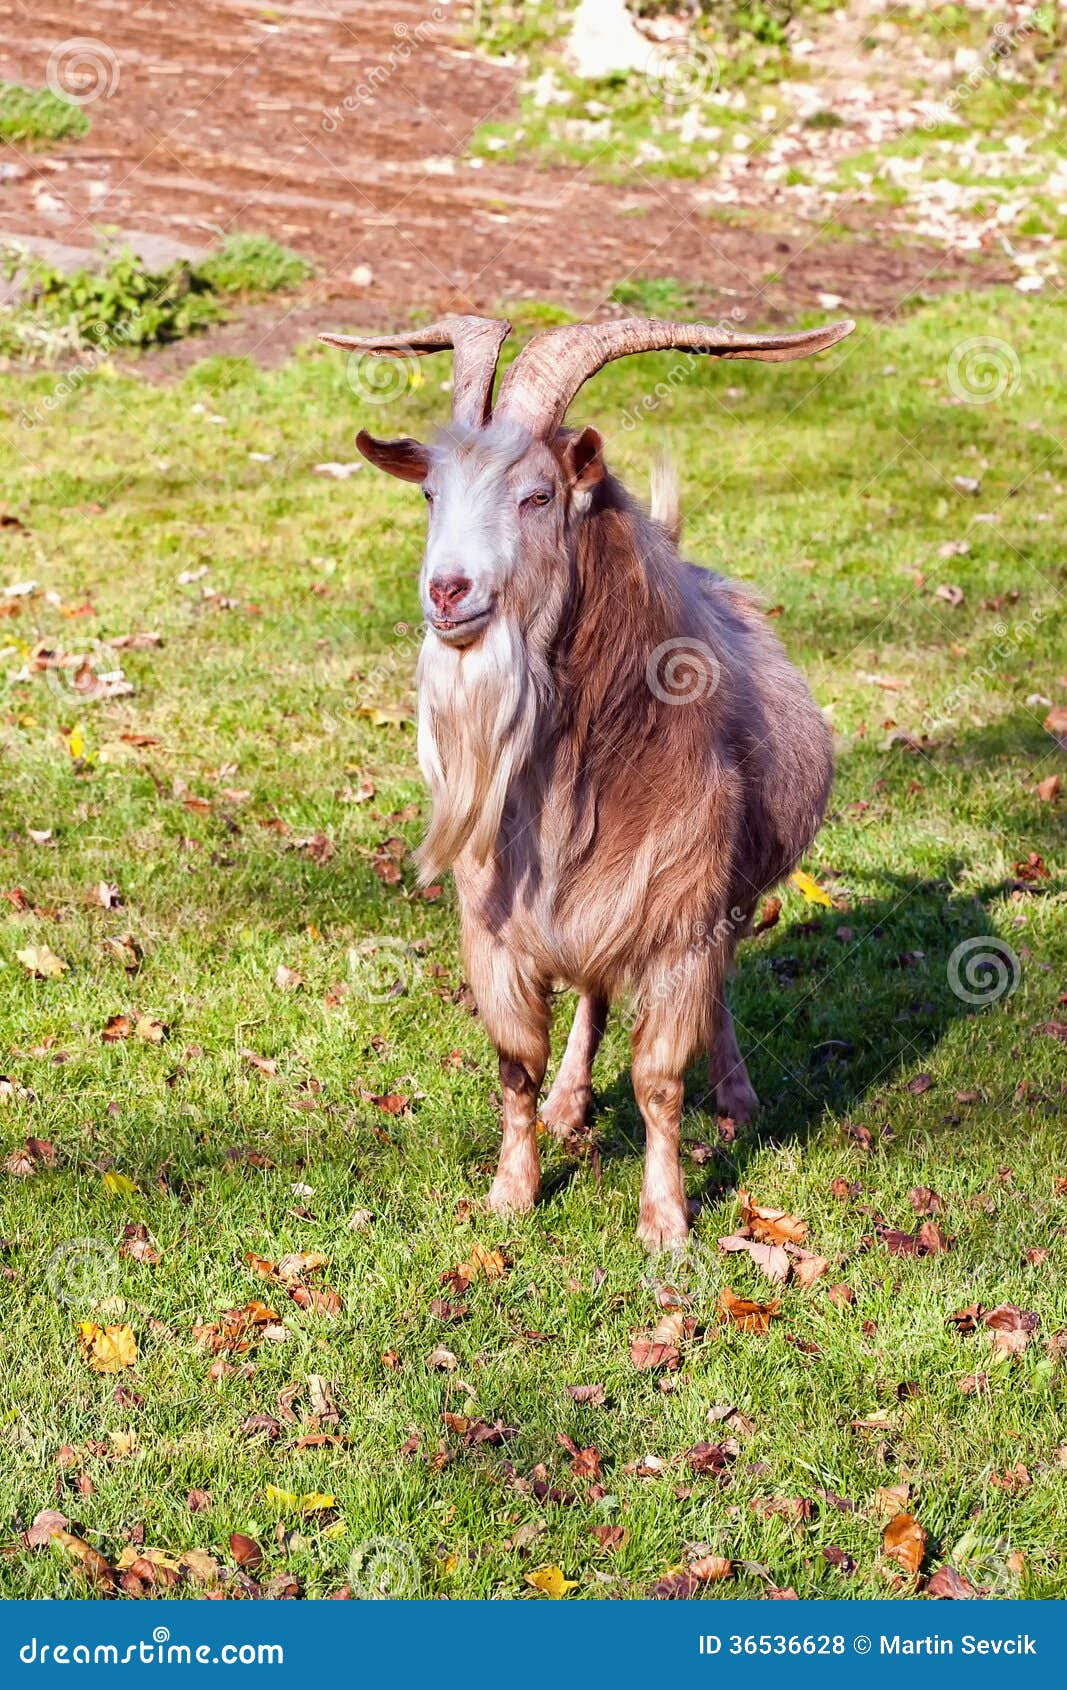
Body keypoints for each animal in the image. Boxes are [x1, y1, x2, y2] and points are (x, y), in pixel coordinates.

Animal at [322, 311, 853, 1249]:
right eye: (430, 496)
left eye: (536, 497)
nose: (447, 591)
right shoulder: (498, 924)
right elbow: (515, 1062)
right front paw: (512, 1190)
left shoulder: (678, 917)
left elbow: (658, 1080)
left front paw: (666, 1222)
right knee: (594, 996)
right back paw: (572, 1104)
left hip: (726, 902)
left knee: (715, 992)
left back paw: (737, 1096)